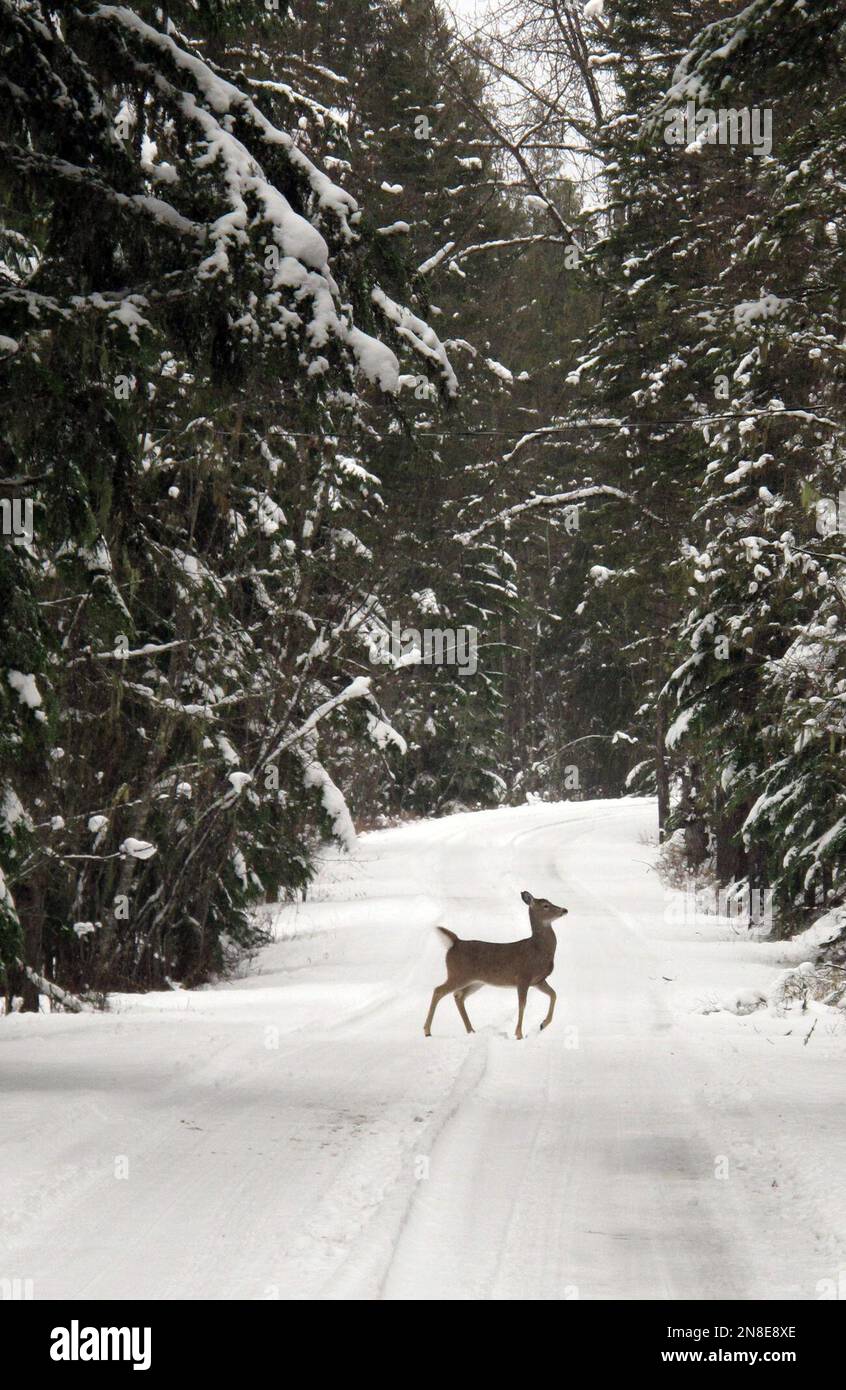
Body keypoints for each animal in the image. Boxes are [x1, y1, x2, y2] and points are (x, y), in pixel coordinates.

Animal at [423, 890, 568, 1040]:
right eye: (546, 905)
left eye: (550, 902)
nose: (564, 910)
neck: (538, 950)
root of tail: (455, 942)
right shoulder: (523, 976)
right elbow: (522, 1004)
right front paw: (519, 1034)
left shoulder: (538, 980)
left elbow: (554, 994)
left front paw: (543, 1024)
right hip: (458, 974)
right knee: (438, 990)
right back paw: (427, 1031)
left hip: (476, 981)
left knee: (458, 995)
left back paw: (471, 1031)